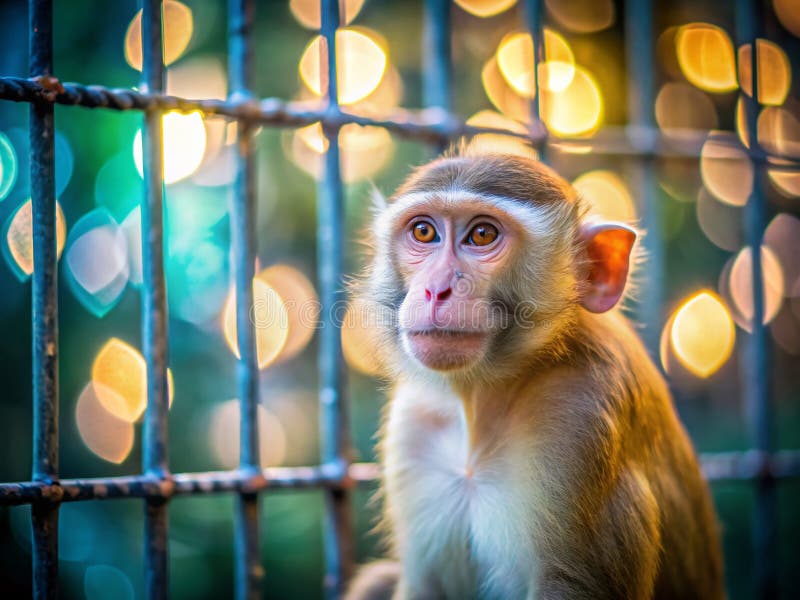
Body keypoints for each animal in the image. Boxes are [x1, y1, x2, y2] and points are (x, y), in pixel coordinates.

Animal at [345, 148, 724, 600]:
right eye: (423, 231)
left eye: (482, 235)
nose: (435, 289)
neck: (483, 399)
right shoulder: (413, 423)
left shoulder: (579, 423)